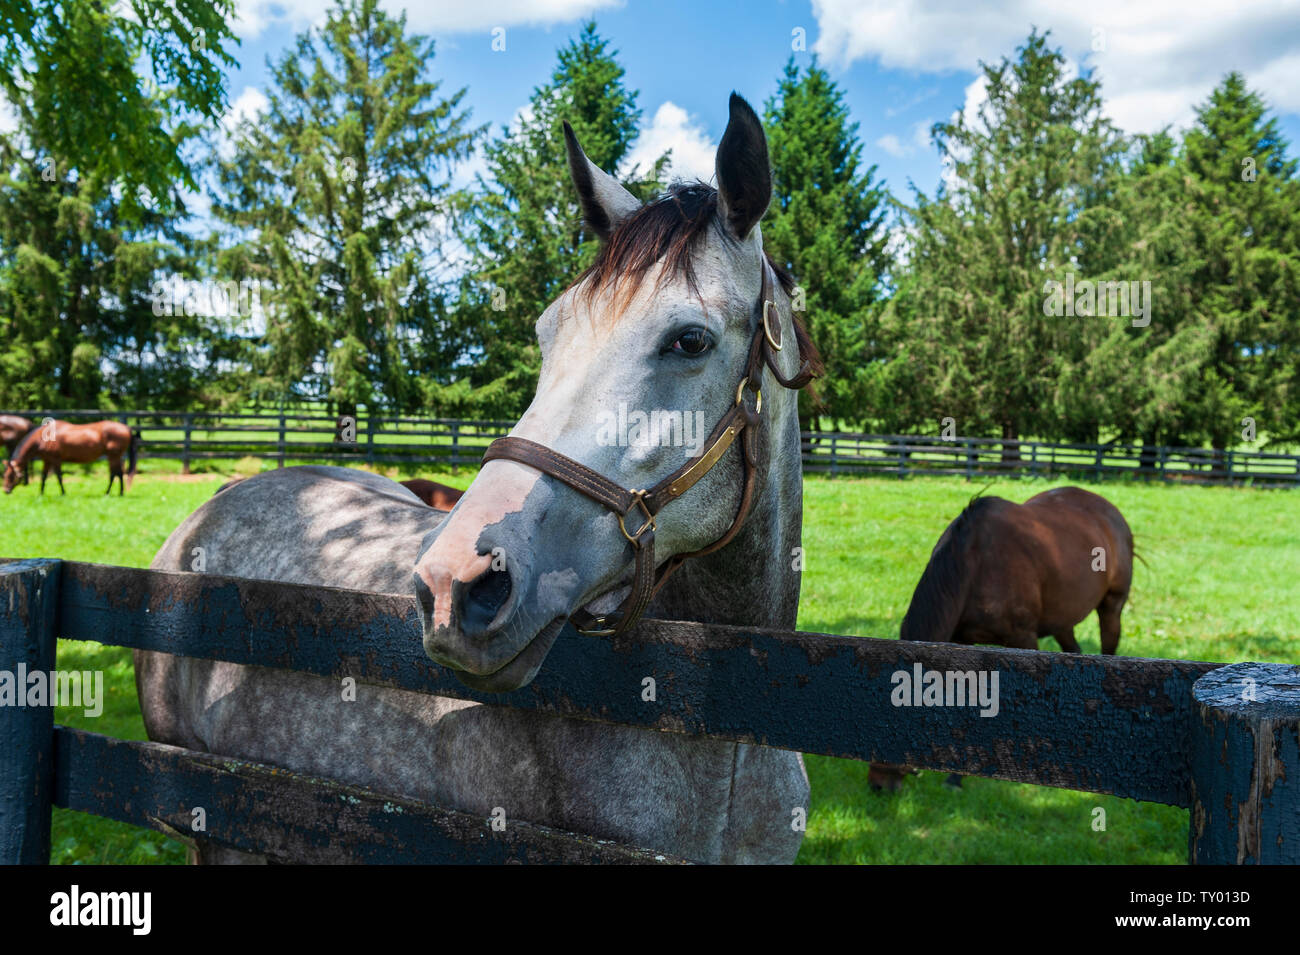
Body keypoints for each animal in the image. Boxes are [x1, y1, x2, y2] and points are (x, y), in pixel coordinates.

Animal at [3, 419, 140, 495]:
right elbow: (43, 477)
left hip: (114, 456)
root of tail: (127, 428)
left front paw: (63, 493)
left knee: (116, 474)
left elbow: (59, 477)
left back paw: (112, 493)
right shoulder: (47, 460)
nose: (6, 491)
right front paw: (41, 493)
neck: (44, 438)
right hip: (114, 456)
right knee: (117, 474)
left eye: (10, 475)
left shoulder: (56, 460)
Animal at [867, 486, 1135, 790]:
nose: (877, 784)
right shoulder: (961, 643)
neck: (972, 566)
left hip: (1112, 607)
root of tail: (1110, 510)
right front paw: (957, 777)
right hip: (1062, 620)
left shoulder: (1024, 640)